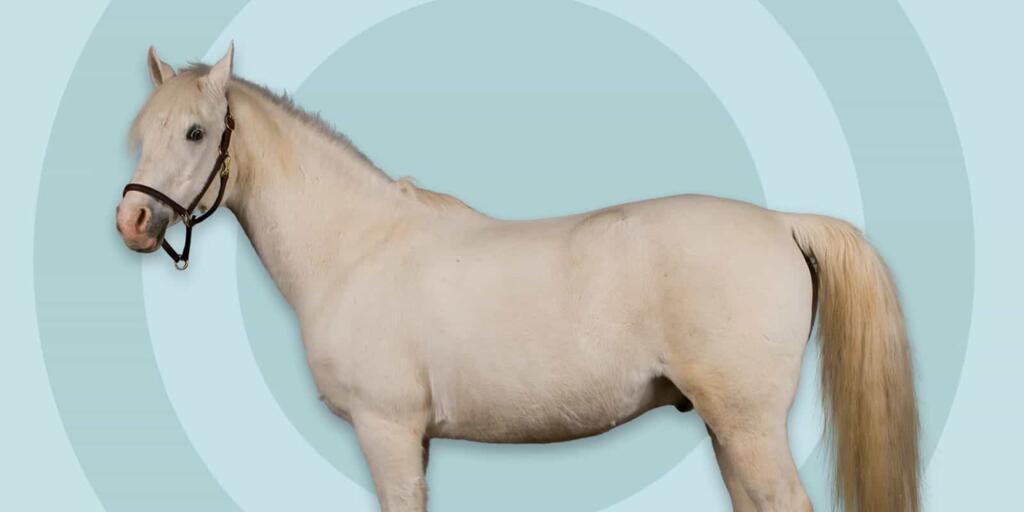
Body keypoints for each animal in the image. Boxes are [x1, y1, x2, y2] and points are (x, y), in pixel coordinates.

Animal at [115, 44, 919, 512]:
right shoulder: (412, 440)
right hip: (730, 428)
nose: (133, 221)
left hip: (749, 426)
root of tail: (784, 222)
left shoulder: (386, 431)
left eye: (195, 132)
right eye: (140, 134)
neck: (357, 248)